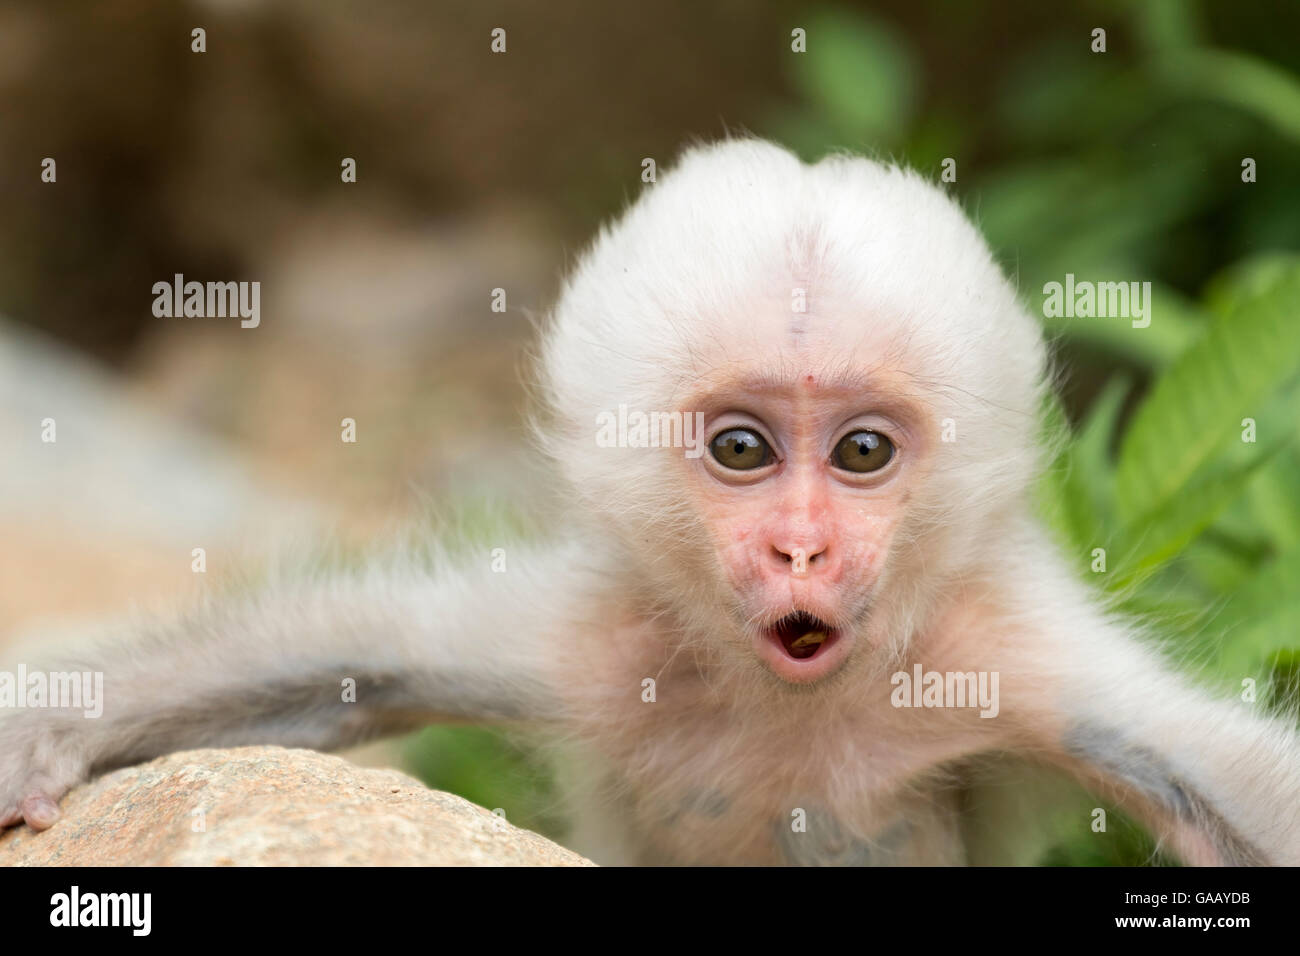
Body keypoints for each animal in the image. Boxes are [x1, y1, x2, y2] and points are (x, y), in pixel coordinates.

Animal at [2, 138, 1297, 866]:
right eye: (742, 449)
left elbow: (1236, 792)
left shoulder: (1000, 648)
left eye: (861, 452)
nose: (801, 546)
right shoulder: (599, 633)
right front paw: (46, 733)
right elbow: (350, 661)